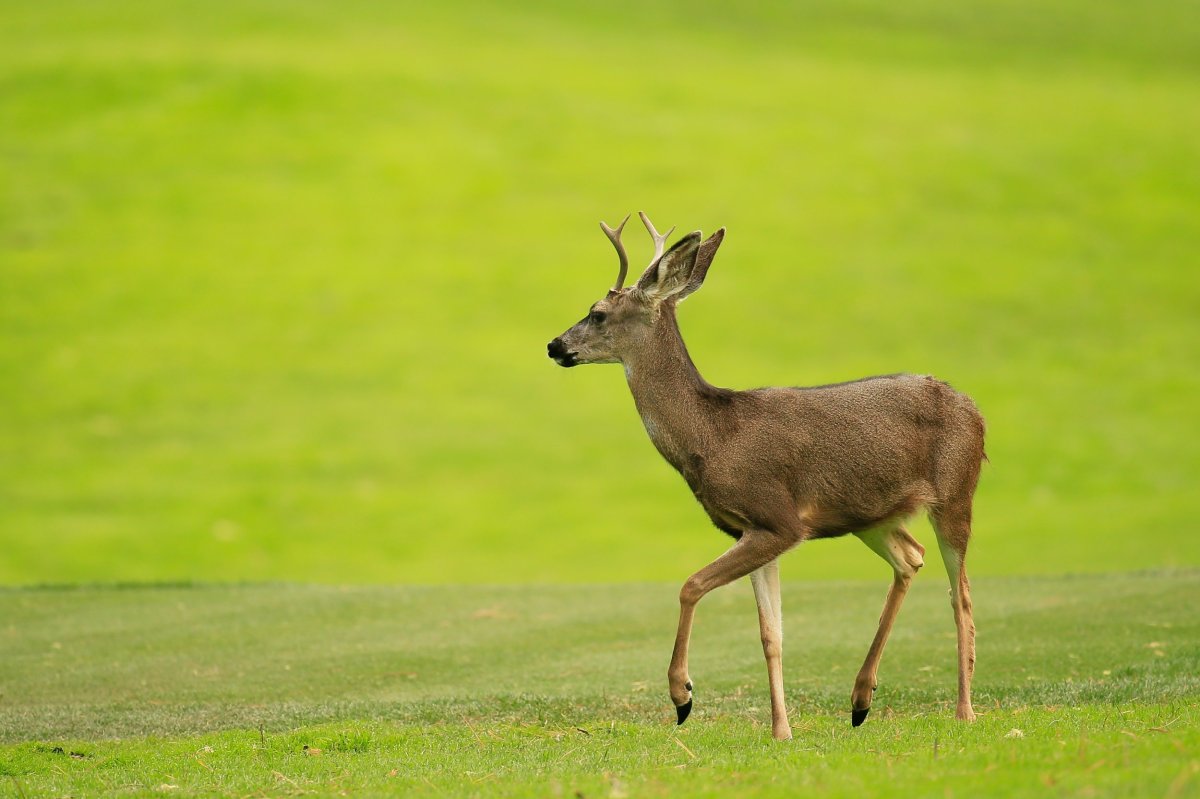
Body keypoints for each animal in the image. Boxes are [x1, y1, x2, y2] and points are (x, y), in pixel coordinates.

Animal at [546, 212, 986, 740]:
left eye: (597, 313)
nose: (554, 345)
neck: (713, 436)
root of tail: (976, 410)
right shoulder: (752, 529)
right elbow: (770, 633)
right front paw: (781, 731)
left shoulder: (777, 519)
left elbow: (690, 585)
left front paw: (682, 695)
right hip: (871, 516)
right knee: (910, 558)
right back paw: (861, 699)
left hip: (956, 492)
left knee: (961, 595)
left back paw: (964, 712)